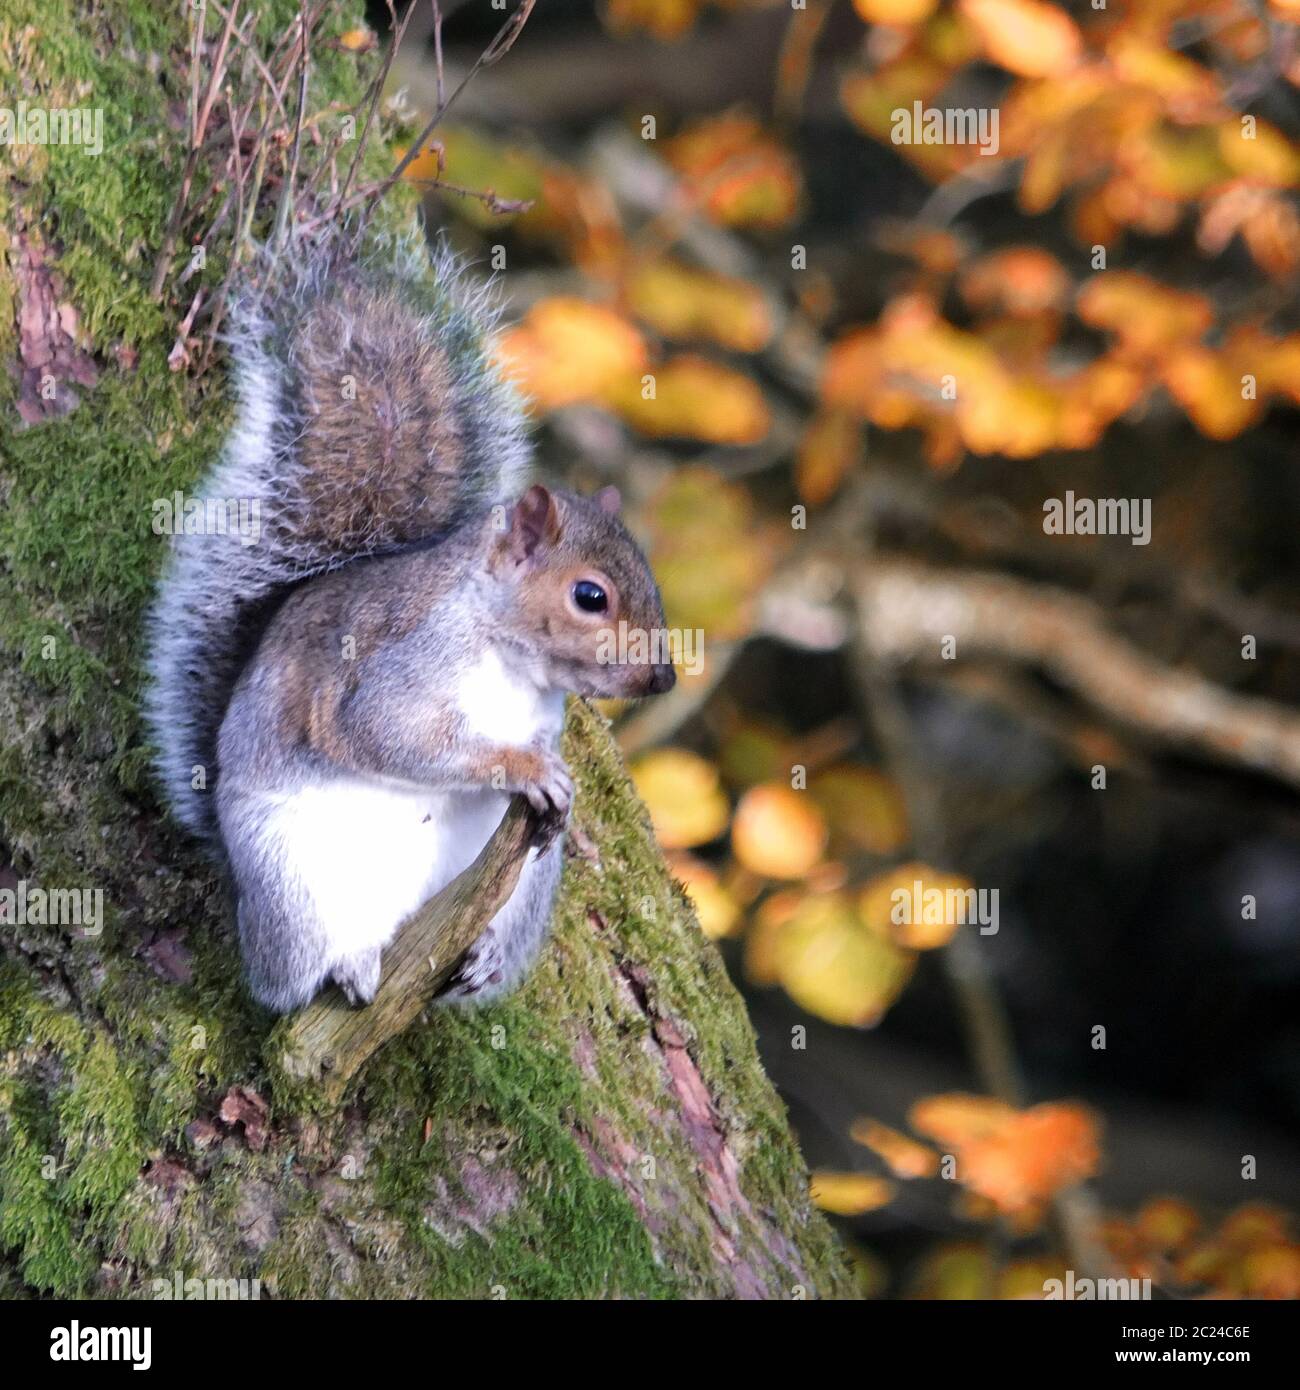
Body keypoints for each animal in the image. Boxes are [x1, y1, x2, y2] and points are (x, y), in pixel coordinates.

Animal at [145, 234, 675, 1014]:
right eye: (590, 596)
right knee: (293, 978)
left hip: (520, 887)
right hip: (290, 881)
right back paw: (351, 965)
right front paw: (523, 767)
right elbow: (383, 730)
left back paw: (481, 959)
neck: (507, 656)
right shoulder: (402, 661)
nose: (663, 677)